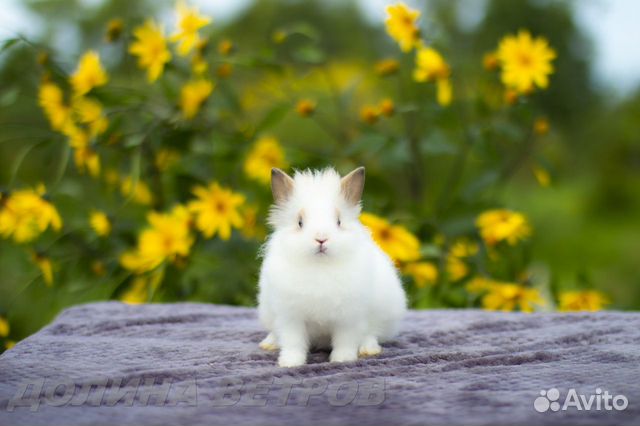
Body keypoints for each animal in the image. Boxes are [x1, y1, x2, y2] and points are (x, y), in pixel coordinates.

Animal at [257, 166, 407, 367]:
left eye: (338, 222)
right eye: (300, 222)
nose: (321, 239)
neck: (321, 266)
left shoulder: (348, 317)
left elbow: (345, 341)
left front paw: (342, 360)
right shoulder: (290, 317)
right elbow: (293, 343)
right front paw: (290, 363)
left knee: (372, 333)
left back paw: (369, 350)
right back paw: (269, 344)